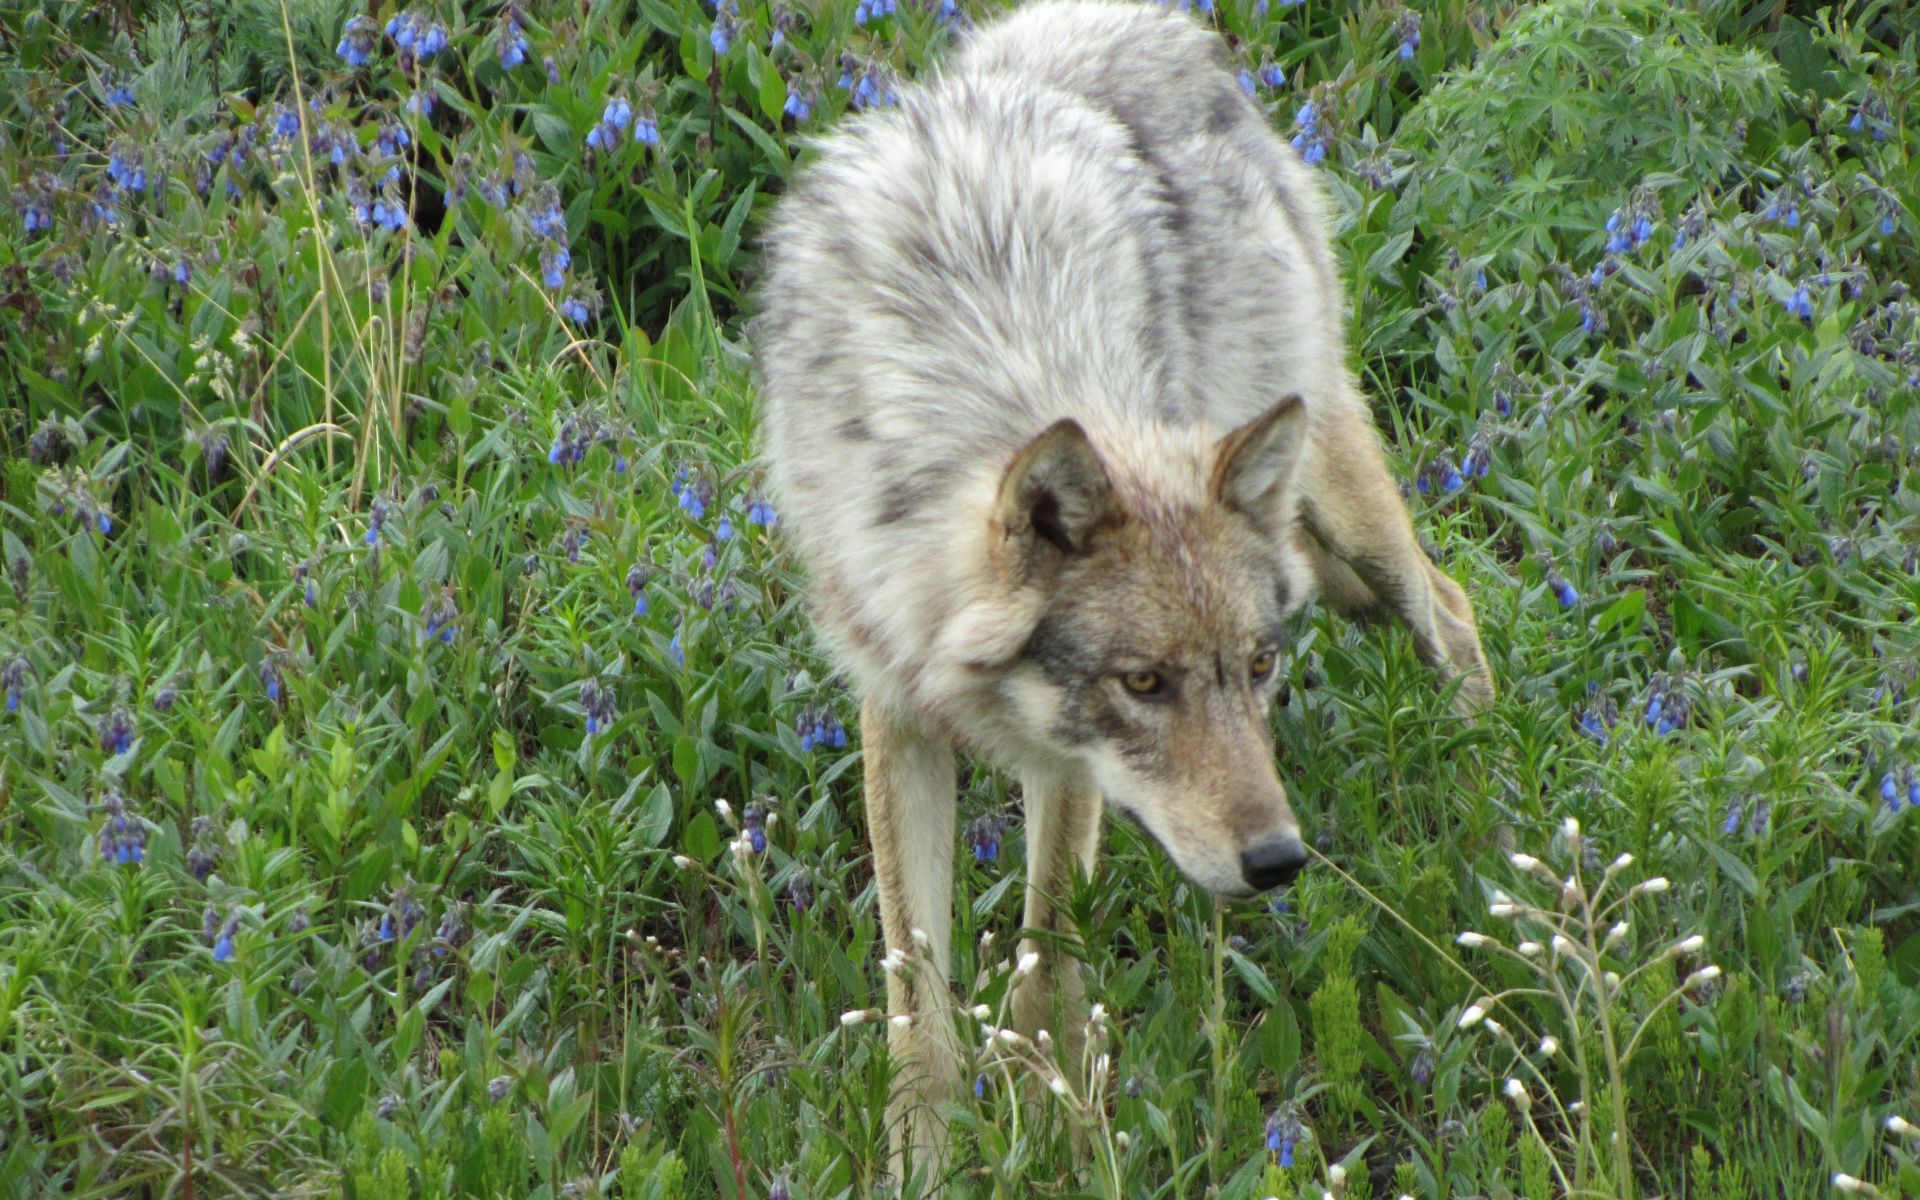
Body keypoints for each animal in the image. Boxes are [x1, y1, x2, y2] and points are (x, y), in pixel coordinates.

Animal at [751, 0, 1493, 1186]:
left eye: (1258, 666)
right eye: (1145, 683)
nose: (1280, 862)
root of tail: (1146, 27)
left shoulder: (1067, 763)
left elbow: (1047, 959)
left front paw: (1055, 1134)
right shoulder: (896, 701)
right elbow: (916, 983)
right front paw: (924, 1157)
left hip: (1342, 514)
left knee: (1454, 611)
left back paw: (1487, 796)